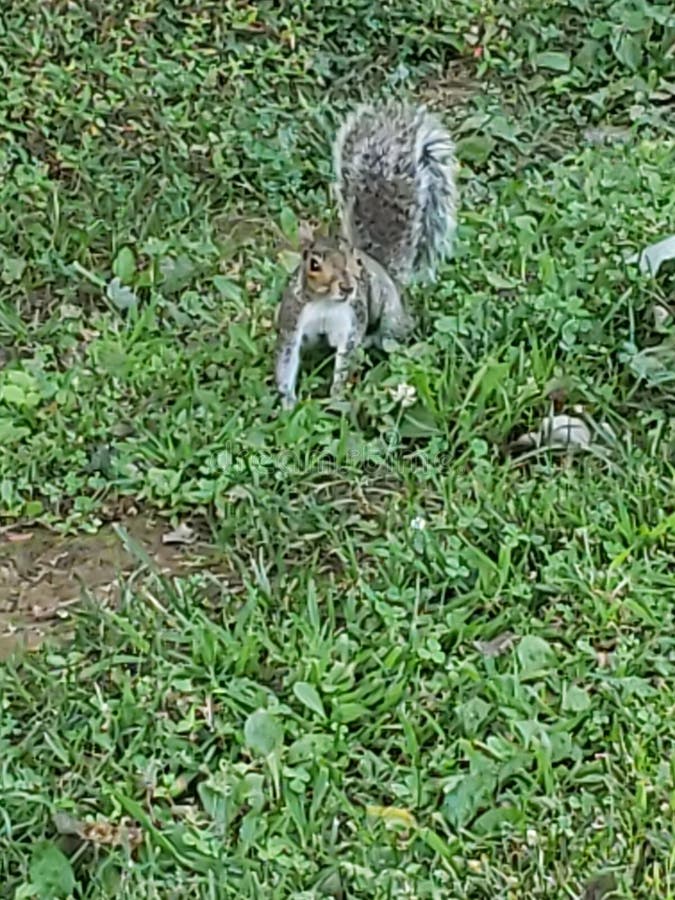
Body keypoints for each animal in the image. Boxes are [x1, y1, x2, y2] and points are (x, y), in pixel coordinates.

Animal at [274, 101, 458, 410]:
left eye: (355, 263)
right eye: (313, 264)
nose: (348, 287)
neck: (326, 303)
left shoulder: (351, 321)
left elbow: (346, 357)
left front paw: (336, 395)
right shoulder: (293, 319)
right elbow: (287, 358)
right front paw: (288, 403)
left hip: (391, 315)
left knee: (391, 334)